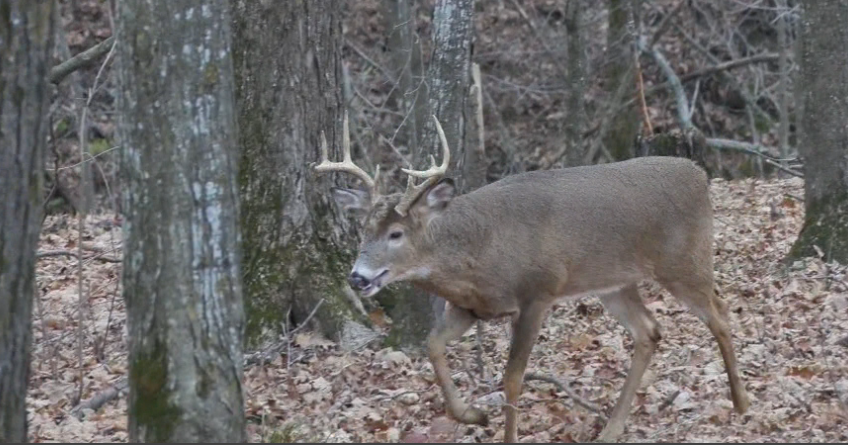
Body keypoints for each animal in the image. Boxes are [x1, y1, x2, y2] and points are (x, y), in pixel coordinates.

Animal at [313, 113, 750, 443]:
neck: (481, 251)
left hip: (684, 261)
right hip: (616, 283)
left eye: (396, 234)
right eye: (362, 230)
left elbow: (512, 378)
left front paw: (504, 431)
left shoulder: (537, 293)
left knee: (721, 313)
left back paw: (741, 405)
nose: (357, 277)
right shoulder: (470, 307)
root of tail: (699, 173)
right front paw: (473, 415)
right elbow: (432, 344)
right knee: (650, 331)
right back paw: (611, 429)